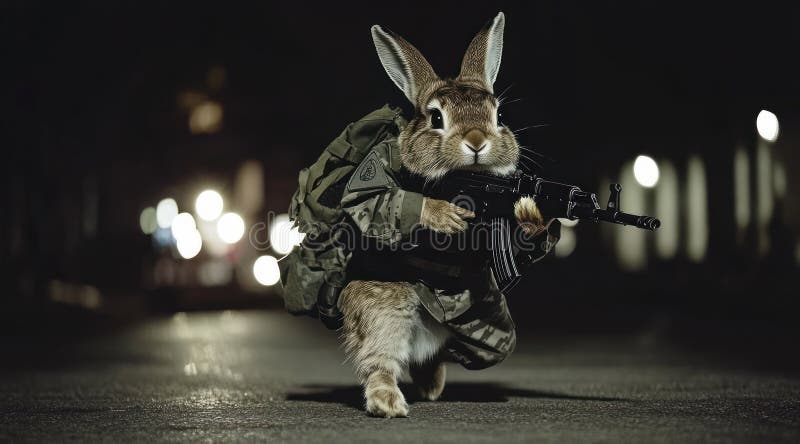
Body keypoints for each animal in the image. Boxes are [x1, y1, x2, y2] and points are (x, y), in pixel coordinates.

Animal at [339, 12, 545, 418]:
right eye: (436, 117)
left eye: (499, 114)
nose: (477, 140)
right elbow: (368, 200)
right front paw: (442, 215)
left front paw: (529, 216)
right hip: (386, 304)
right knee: (380, 356)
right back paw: (387, 401)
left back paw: (431, 384)